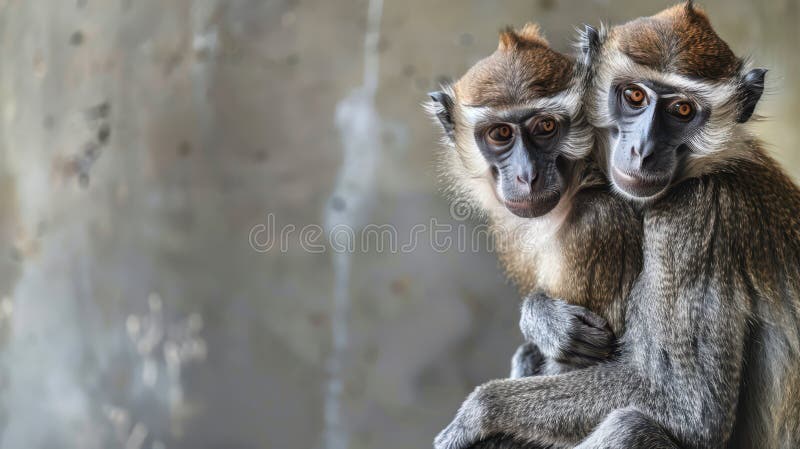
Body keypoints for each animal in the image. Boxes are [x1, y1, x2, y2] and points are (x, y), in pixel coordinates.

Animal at [434, 3, 800, 449]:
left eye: (682, 110)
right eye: (634, 96)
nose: (642, 149)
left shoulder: (686, 213)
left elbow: (690, 407)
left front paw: (481, 409)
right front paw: (541, 322)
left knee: (631, 427)